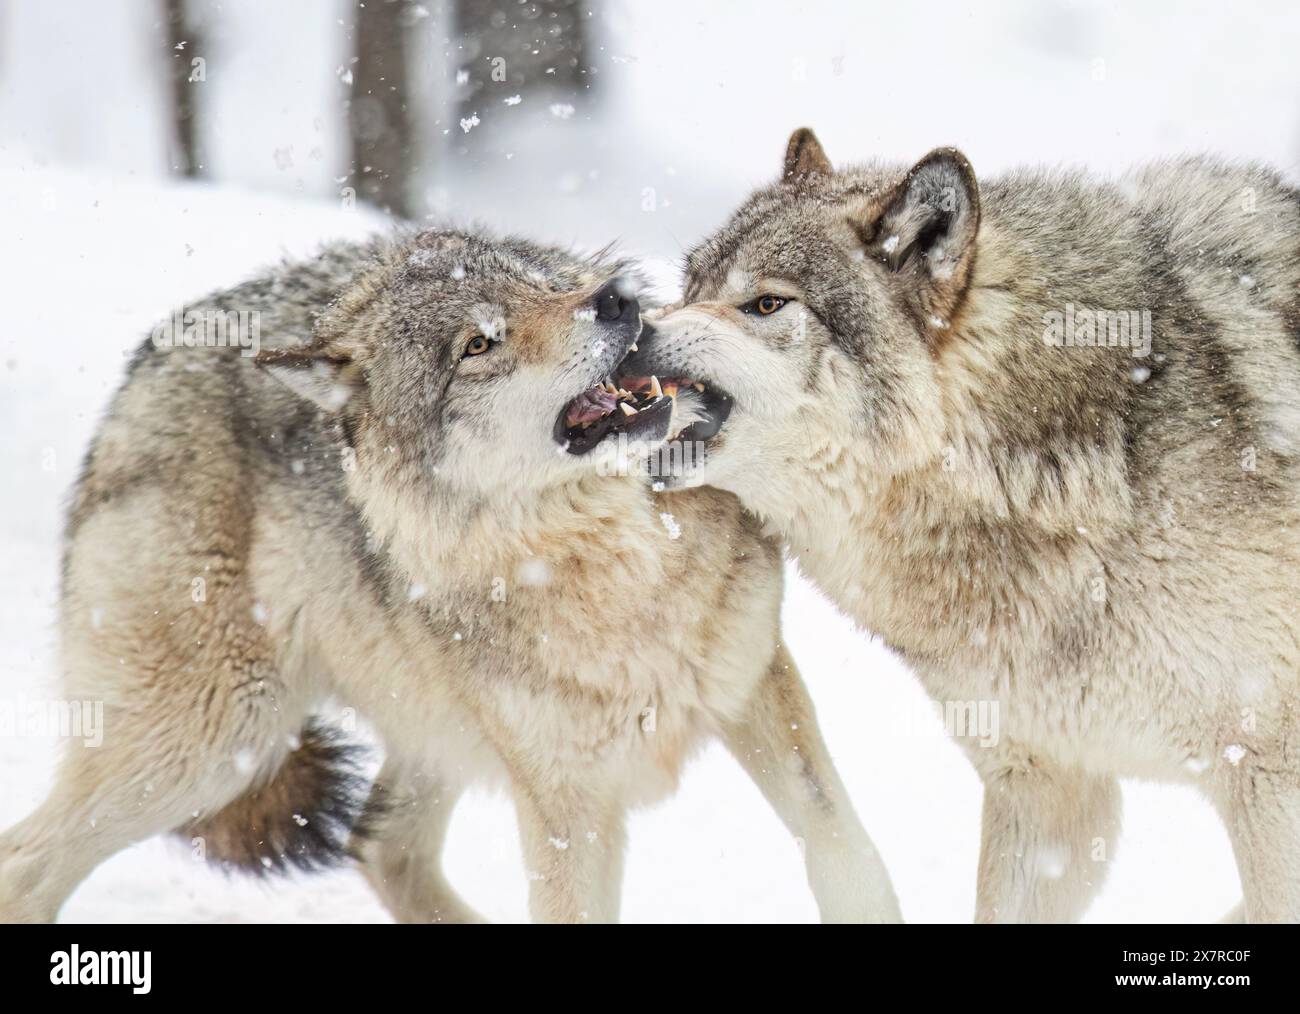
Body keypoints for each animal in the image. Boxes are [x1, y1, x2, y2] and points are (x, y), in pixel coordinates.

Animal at [0, 226, 901, 924]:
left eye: (540, 285)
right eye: (476, 347)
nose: (613, 300)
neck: (624, 564)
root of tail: (145, 367)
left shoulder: (754, 677)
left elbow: (844, 846)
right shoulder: (566, 803)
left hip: (409, 726)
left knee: (380, 846)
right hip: (216, 739)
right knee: (24, 866)